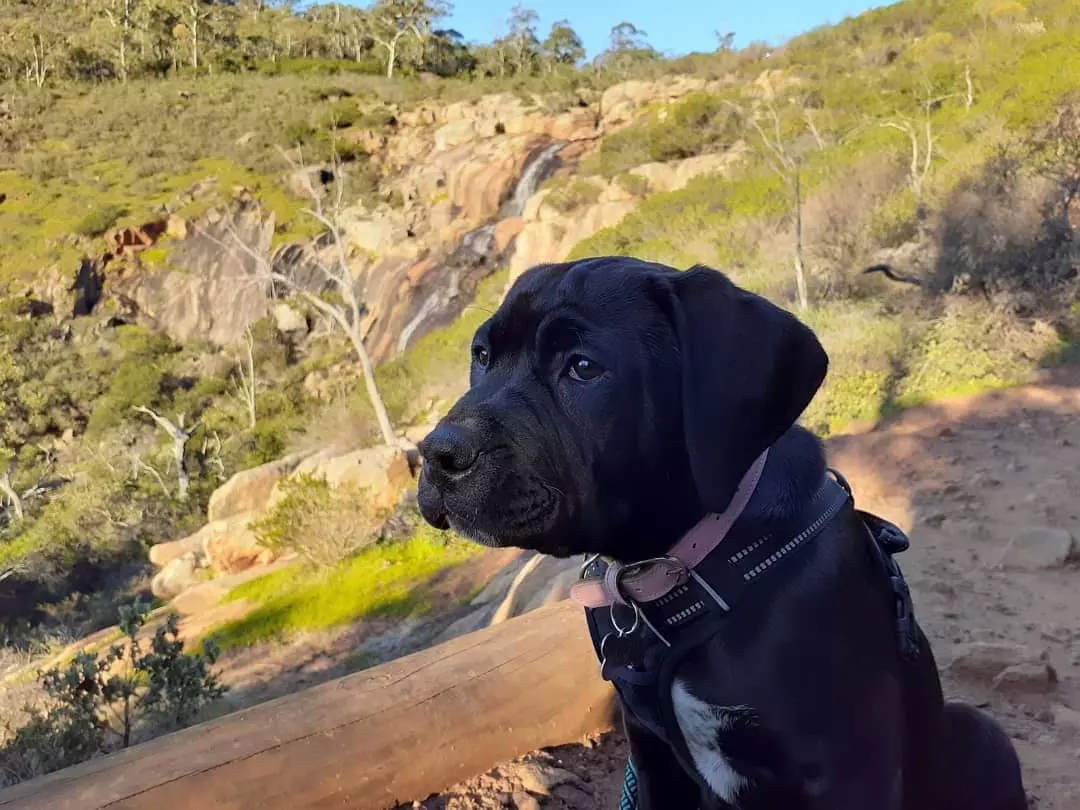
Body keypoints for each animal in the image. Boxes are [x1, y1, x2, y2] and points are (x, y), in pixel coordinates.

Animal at [414, 258, 1028, 810]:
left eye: (584, 367)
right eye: (482, 356)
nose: (434, 453)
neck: (681, 571)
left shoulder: (848, 770)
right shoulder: (654, 756)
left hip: (981, 735)